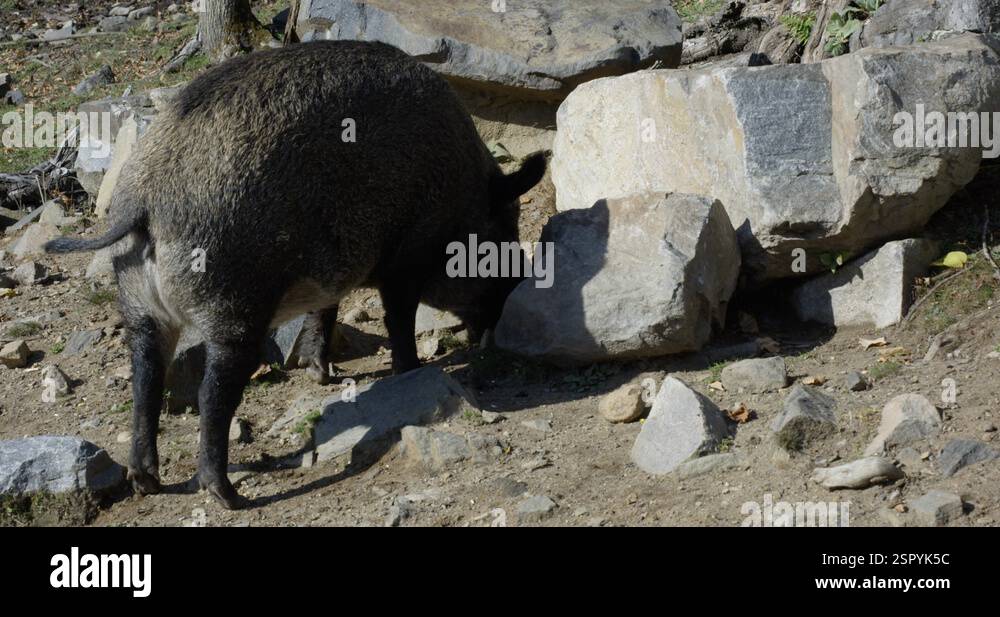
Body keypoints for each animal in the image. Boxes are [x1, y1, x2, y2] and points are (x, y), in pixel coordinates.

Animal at [46, 40, 546, 509]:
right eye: (506, 230)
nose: (510, 300)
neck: (461, 198)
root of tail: (144, 200)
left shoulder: (335, 272)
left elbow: (326, 311)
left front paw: (320, 375)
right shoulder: (405, 258)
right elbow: (398, 320)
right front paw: (410, 371)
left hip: (137, 303)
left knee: (146, 377)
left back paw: (145, 483)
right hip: (233, 303)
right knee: (212, 393)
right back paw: (226, 495)